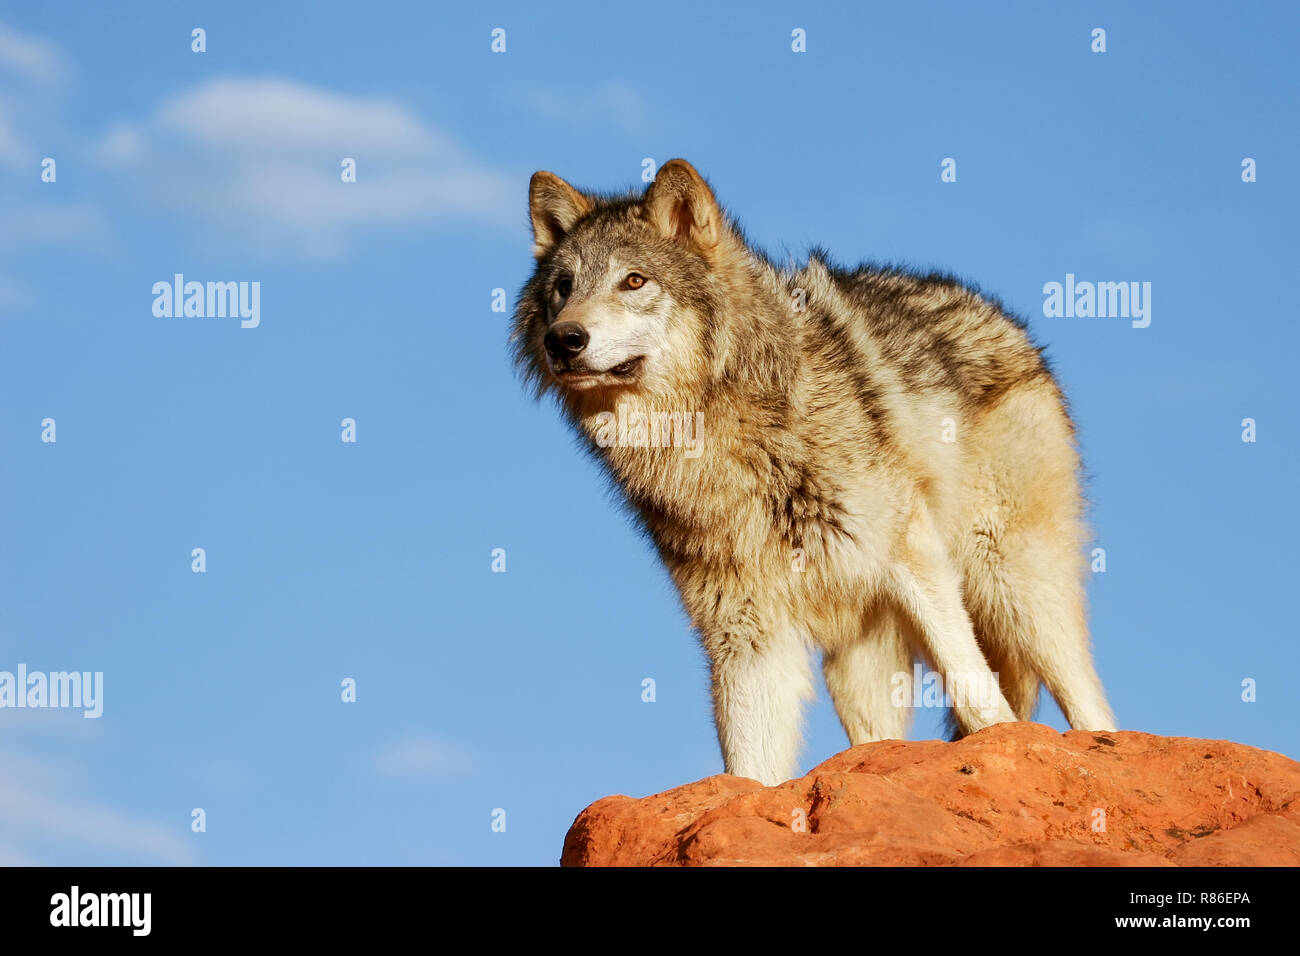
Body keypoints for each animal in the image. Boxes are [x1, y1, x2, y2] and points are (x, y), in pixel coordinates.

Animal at [512, 159, 1116, 786]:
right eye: (564, 288)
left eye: (634, 281)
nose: (564, 339)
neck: (724, 436)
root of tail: (1006, 322)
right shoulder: (743, 630)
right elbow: (748, 766)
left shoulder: (911, 553)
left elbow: (978, 695)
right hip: (859, 663)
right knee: (877, 741)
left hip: (1014, 585)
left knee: (1092, 708)